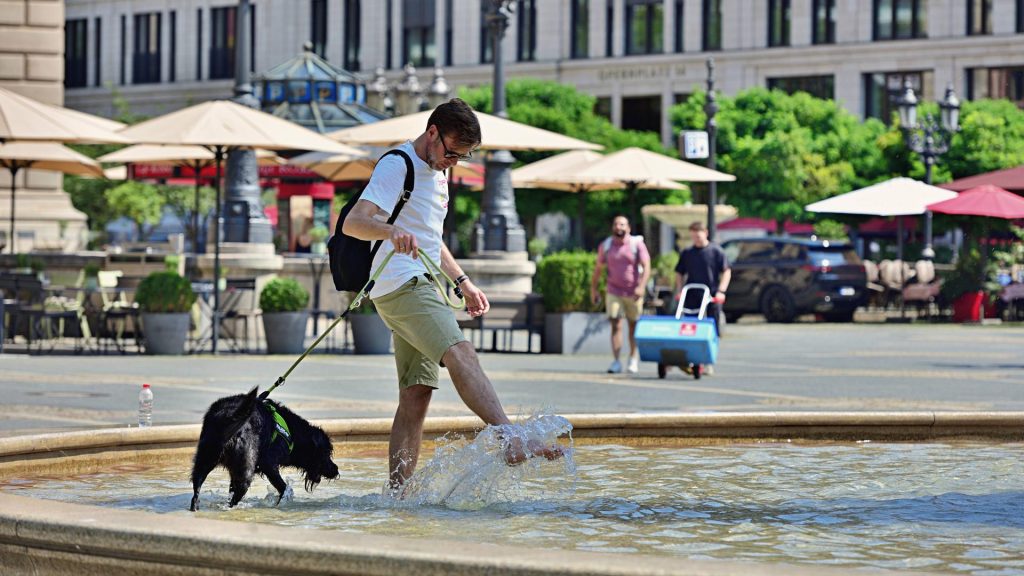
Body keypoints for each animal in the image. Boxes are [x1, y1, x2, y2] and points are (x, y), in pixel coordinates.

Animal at [188, 387, 339, 508]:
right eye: (326, 453)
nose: (336, 470)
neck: (294, 434)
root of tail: (228, 416)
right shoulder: (268, 465)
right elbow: (284, 488)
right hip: (246, 467)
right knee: (237, 494)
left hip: (204, 458)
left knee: (196, 491)